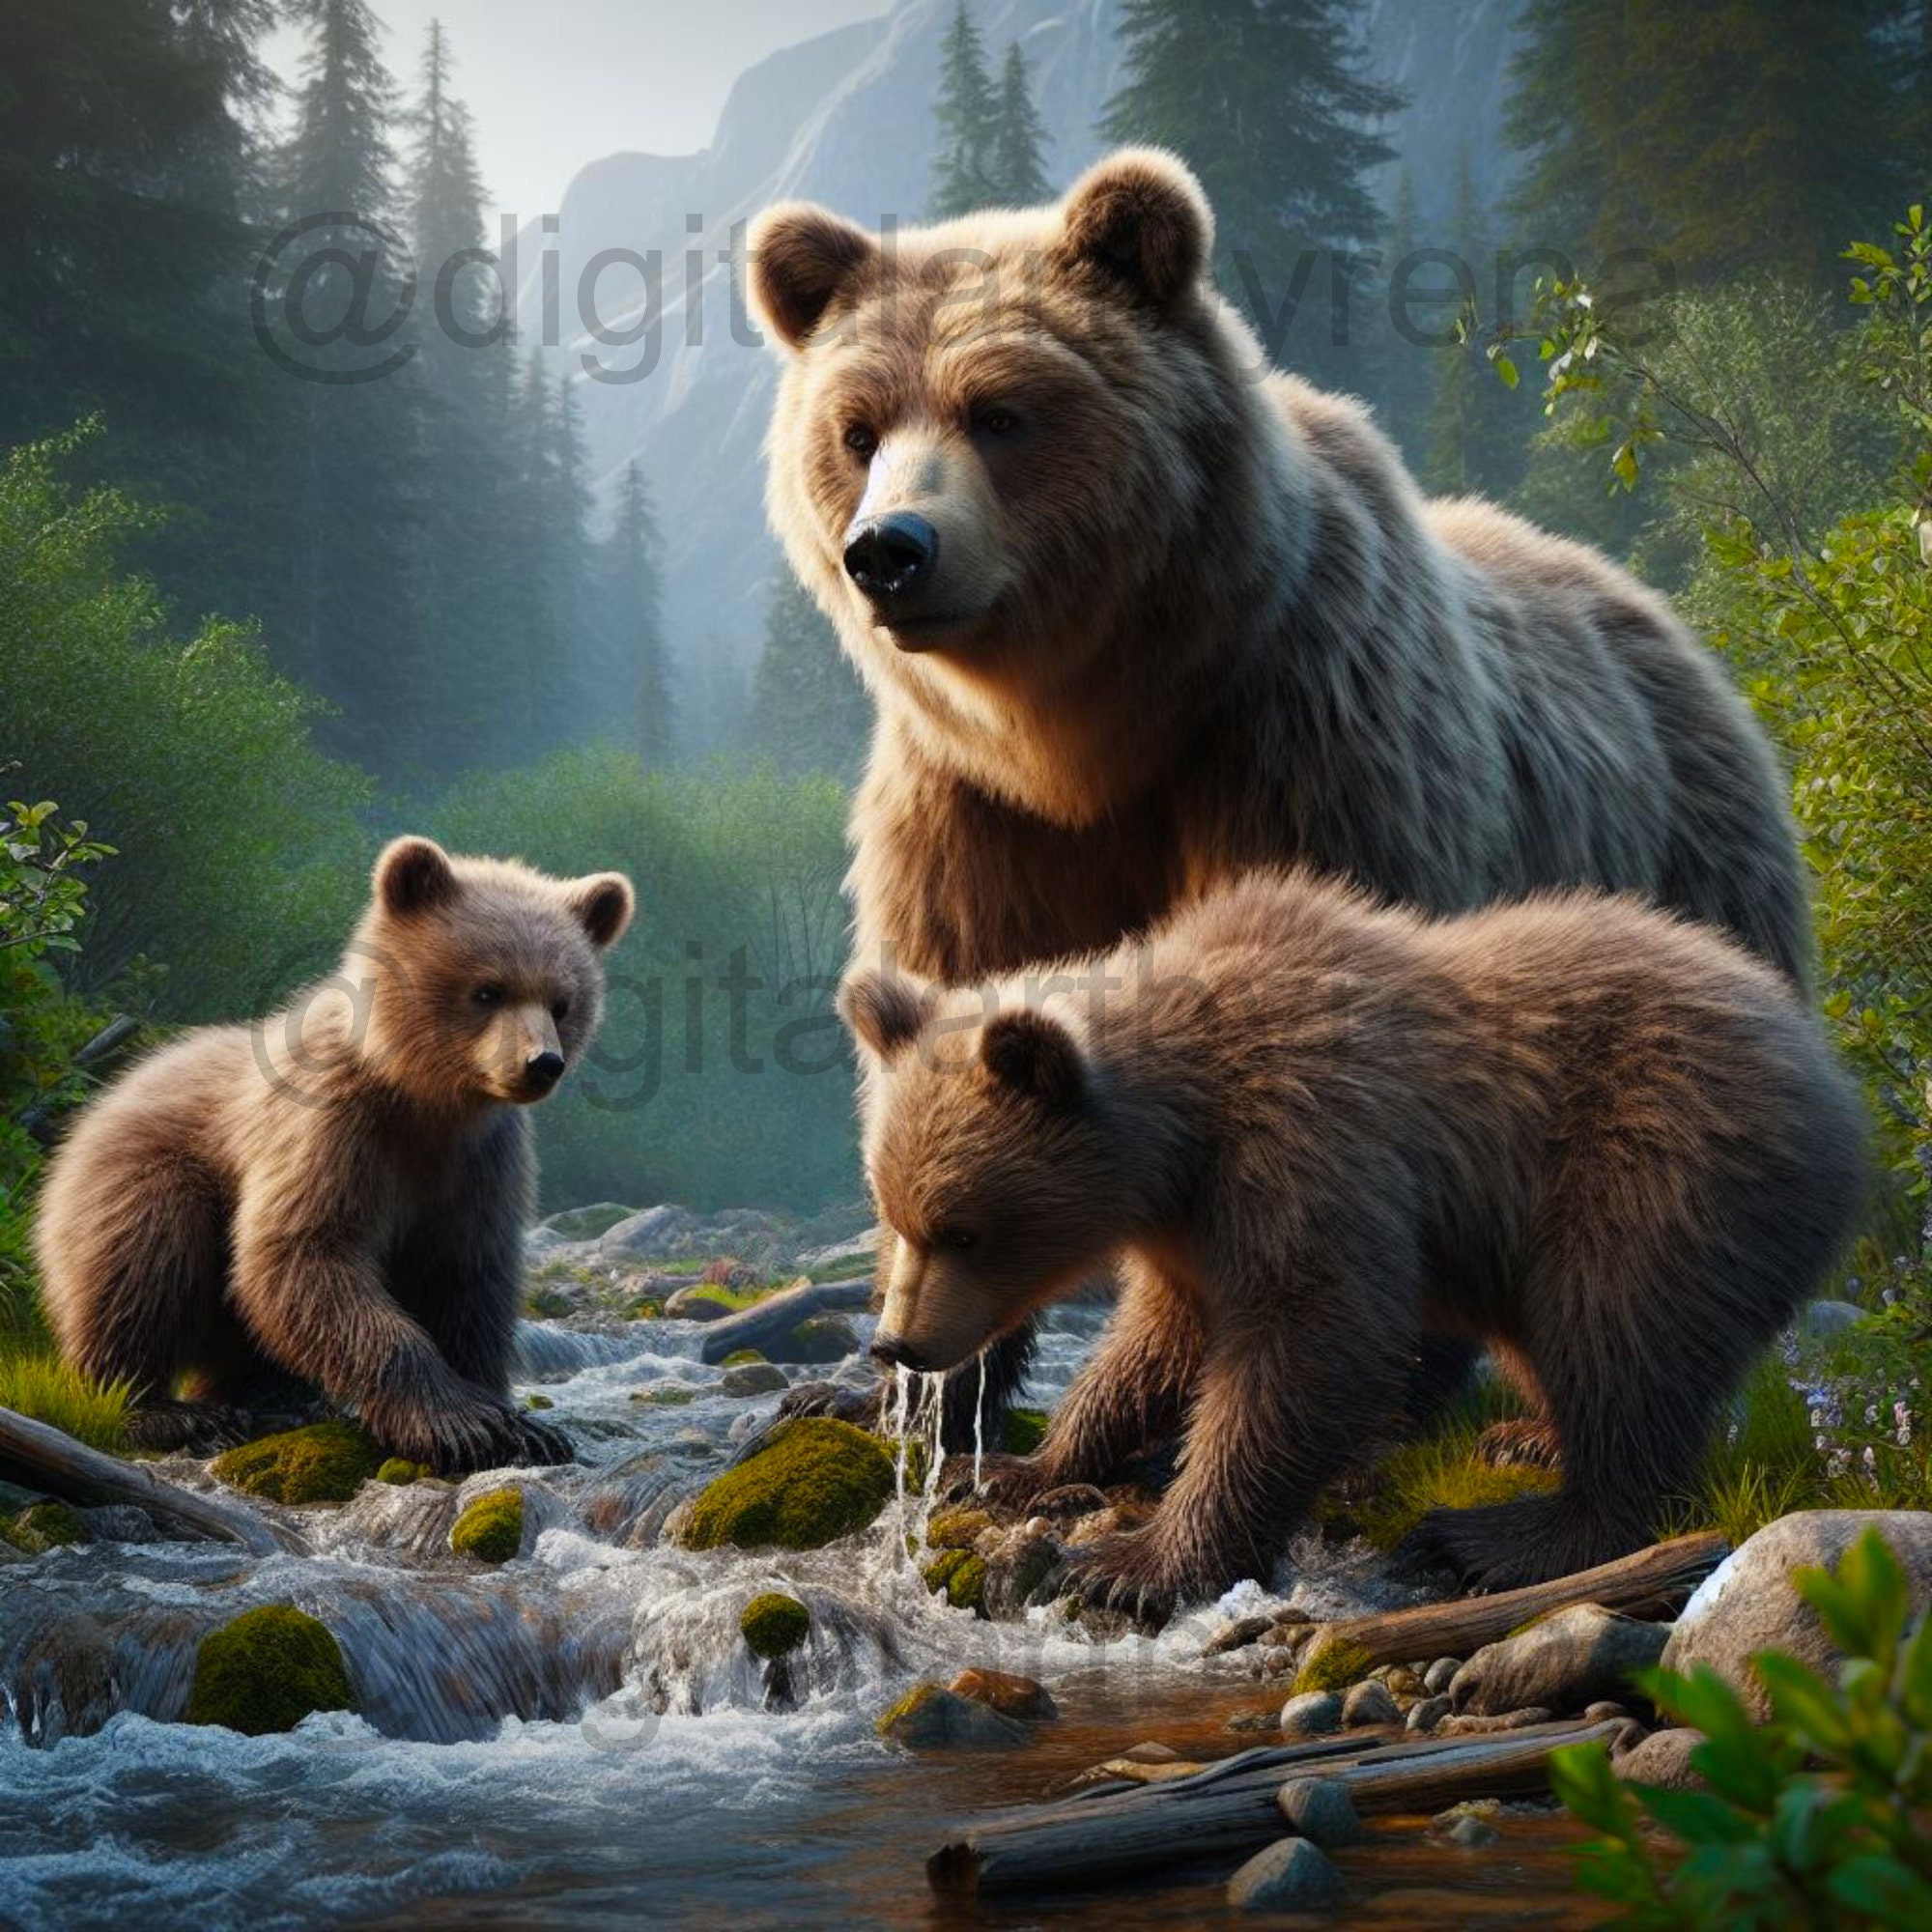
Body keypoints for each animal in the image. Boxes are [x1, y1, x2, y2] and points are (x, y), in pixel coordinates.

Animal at [33, 837, 635, 1473]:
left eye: (562, 1001)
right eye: (488, 990)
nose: (541, 1062)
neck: (425, 1099)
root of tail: (105, 1095)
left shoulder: (481, 1161)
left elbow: (467, 1280)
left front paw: (521, 1423)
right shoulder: (333, 1127)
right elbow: (306, 1253)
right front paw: (461, 1422)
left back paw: (275, 1401)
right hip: (141, 1171)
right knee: (142, 1267)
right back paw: (164, 1411)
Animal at [748, 147, 1813, 1454]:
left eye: (998, 410)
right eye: (855, 428)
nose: (890, 549)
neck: (1094, 729)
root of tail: (1669, 624)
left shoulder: (1302, 744)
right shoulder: (978, 822)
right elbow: (967, 1026)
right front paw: (917, 1392)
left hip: (1683, 869)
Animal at [839, 867, 1865, 1617]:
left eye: (963, 1228)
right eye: (893, 1211)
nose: (899, 1344)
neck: (1182, 1138)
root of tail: (1824, 1072)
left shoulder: (1310, 1140)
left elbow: (1309, 1343)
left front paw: (1133, 1561)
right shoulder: (1197, 1226)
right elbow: (1157, 1343)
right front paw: (1019, 1469)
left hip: (1655, 1155)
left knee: (1620, 1331)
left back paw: (1510, 1532)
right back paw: (1527, 1436)